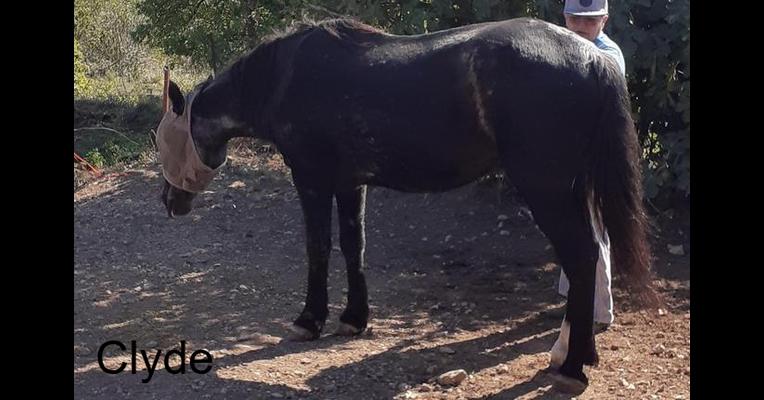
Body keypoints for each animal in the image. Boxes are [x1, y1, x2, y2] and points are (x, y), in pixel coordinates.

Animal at [156, 17, 657, 393]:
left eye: (162, 140)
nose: (169, 201)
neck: (284, 77)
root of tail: (591, 57)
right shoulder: (350, 184)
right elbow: (352, 247)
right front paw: (353, 319)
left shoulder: (312, 180)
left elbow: (318, 249)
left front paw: (309, 320)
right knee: (590, 259)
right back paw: (581, 354)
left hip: (547, 190)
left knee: (582, 258)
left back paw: (571, 367)